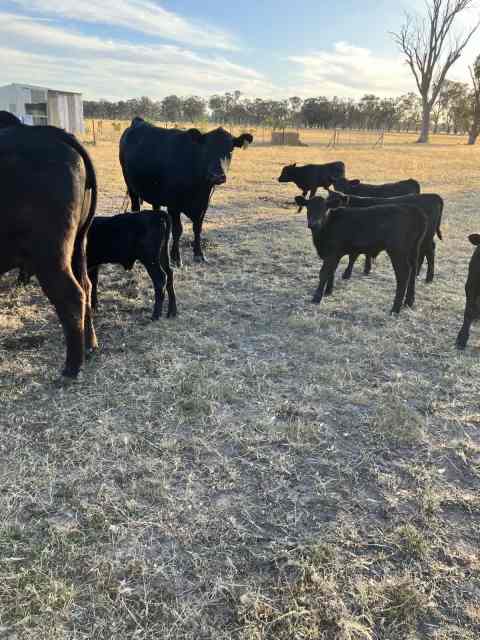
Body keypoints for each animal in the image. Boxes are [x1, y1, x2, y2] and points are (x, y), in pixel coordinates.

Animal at [0, 111, 97, 378]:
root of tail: (51, 133)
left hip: (51, 254)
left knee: (72, 295)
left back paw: (71, 367)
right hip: (78, 244)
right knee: (86, 286)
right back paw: (90, 346)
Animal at [119, 118, 253, 266]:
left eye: (230, 150)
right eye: (206, 149)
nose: (217, 175)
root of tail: (138, 121)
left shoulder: (203, 204)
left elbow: (197, 228)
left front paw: (199, 254)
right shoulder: (173, 205)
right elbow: (178, 230)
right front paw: (176, 258)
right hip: (131, 187)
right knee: (135, 208)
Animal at [295, 194, 427, 314]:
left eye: (324, 208)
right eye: (308, 207)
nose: (313, 224)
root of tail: (412, 209)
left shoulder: (332, 252)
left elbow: (324, 273)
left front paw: (317, 297)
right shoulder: (333, 254)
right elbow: (331, 271)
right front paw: (328, 291)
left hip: (397, 250)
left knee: (403, 274)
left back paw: (395, 308)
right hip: (413, 250)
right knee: (413, 270)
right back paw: (409, 302)